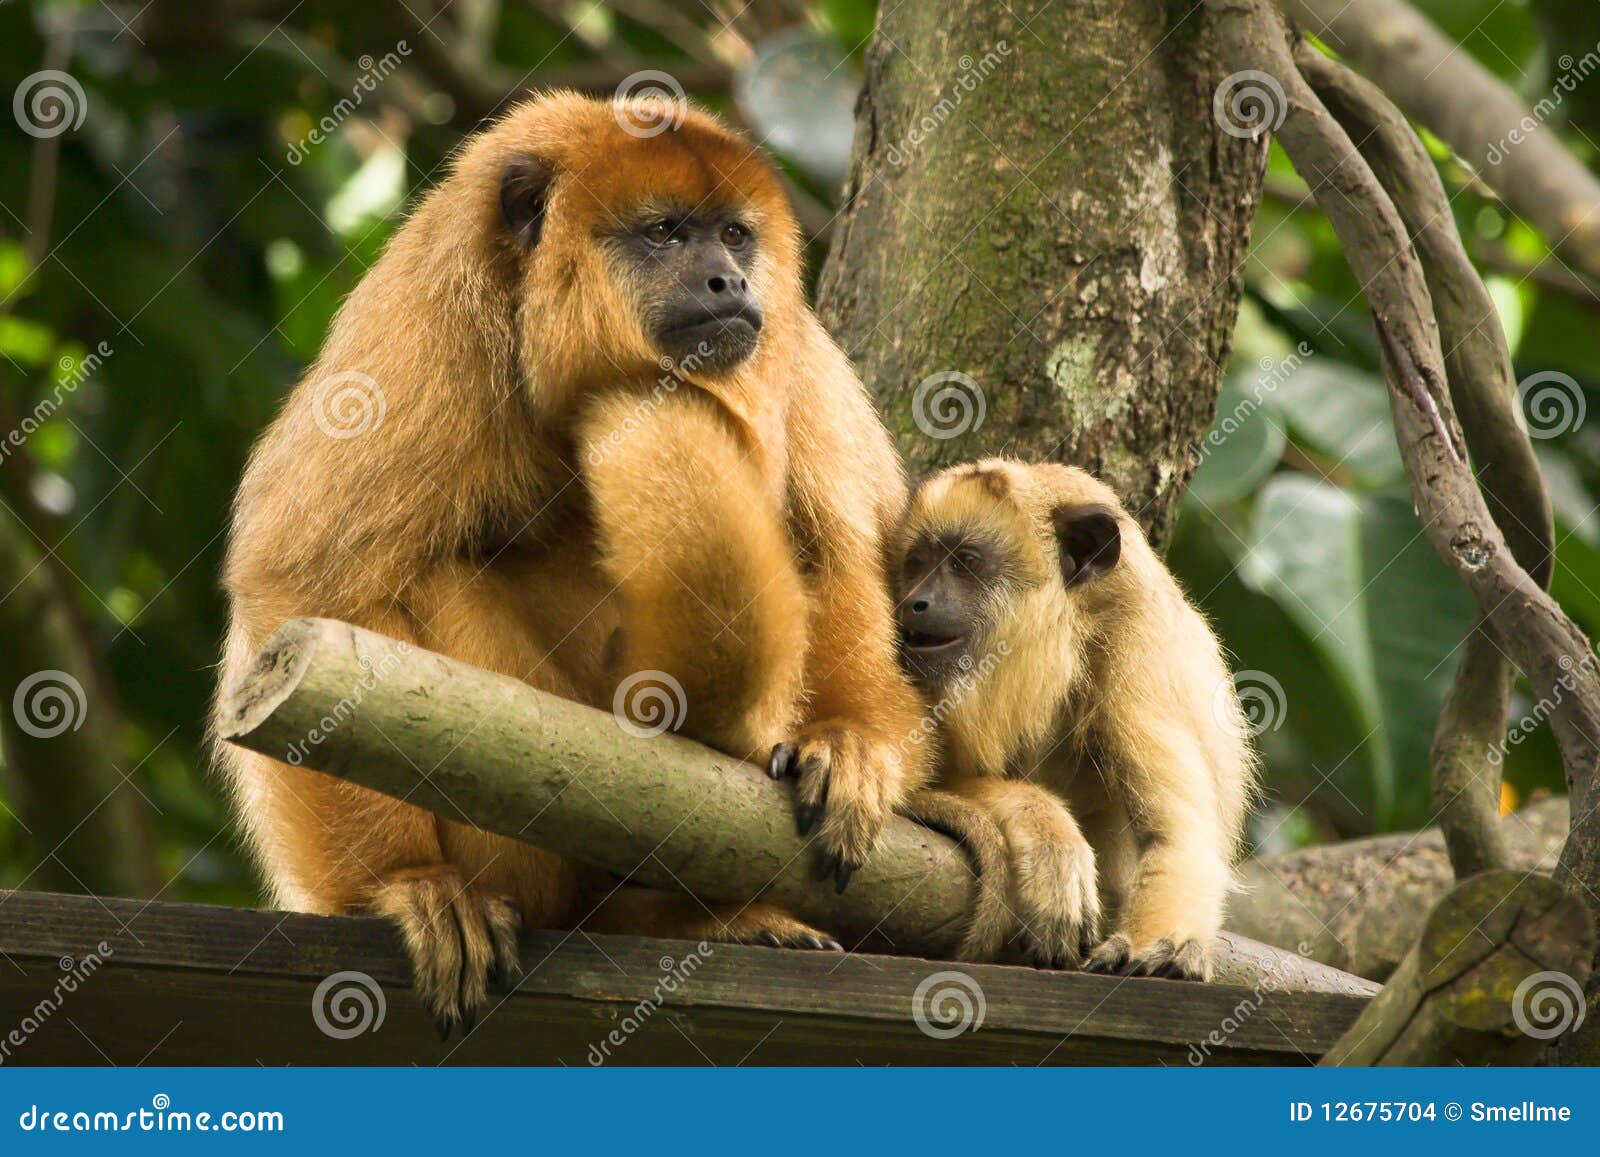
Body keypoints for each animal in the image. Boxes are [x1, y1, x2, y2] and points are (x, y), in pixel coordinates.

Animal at [214, 91, 933, 1032]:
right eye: (663, 232)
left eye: (734, 235)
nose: (730, 282)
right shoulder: (429, 321)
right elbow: (308, 574)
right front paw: (406, 882)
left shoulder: (792, 349)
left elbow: (837, 552)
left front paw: (847, 743)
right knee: (427, 577)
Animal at [889, 459, 1258, 981]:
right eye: (918, 562)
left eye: (965, 561)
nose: (914, 602)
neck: (1066, 635)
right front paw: (1048, 832)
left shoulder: (1138, 648)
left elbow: (1177, 837)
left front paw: (1161, 943)